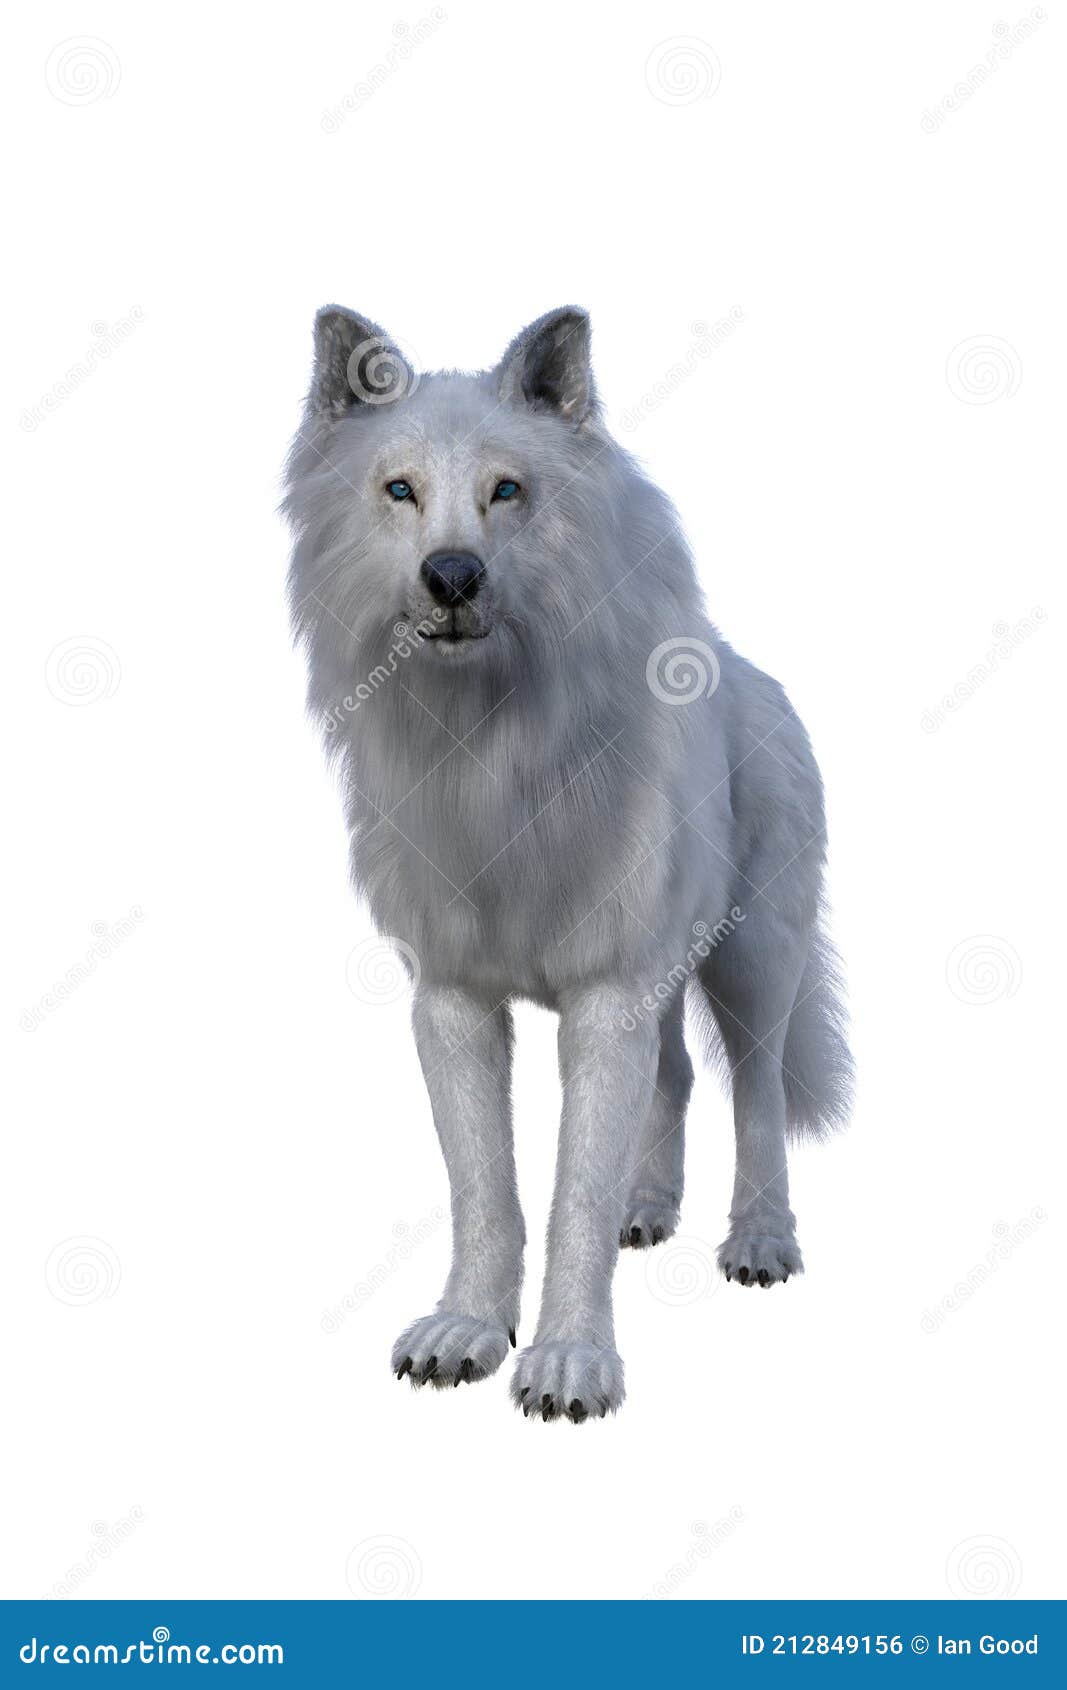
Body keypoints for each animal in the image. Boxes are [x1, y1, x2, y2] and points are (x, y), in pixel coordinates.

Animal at [285, 305, 852, 1422]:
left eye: (507, 489)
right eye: (398, 489)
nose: (452, 576)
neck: (489, 754)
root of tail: (751, 673)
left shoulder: (606, 997)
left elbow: (569, 1200)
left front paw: (569, 1364)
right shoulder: (457, 1000)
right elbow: (484, 1192)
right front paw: (465, 1330)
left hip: (752, 967)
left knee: (757, 1097)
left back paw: (760, 1241)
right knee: (677, 1077)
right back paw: (651, 1209)